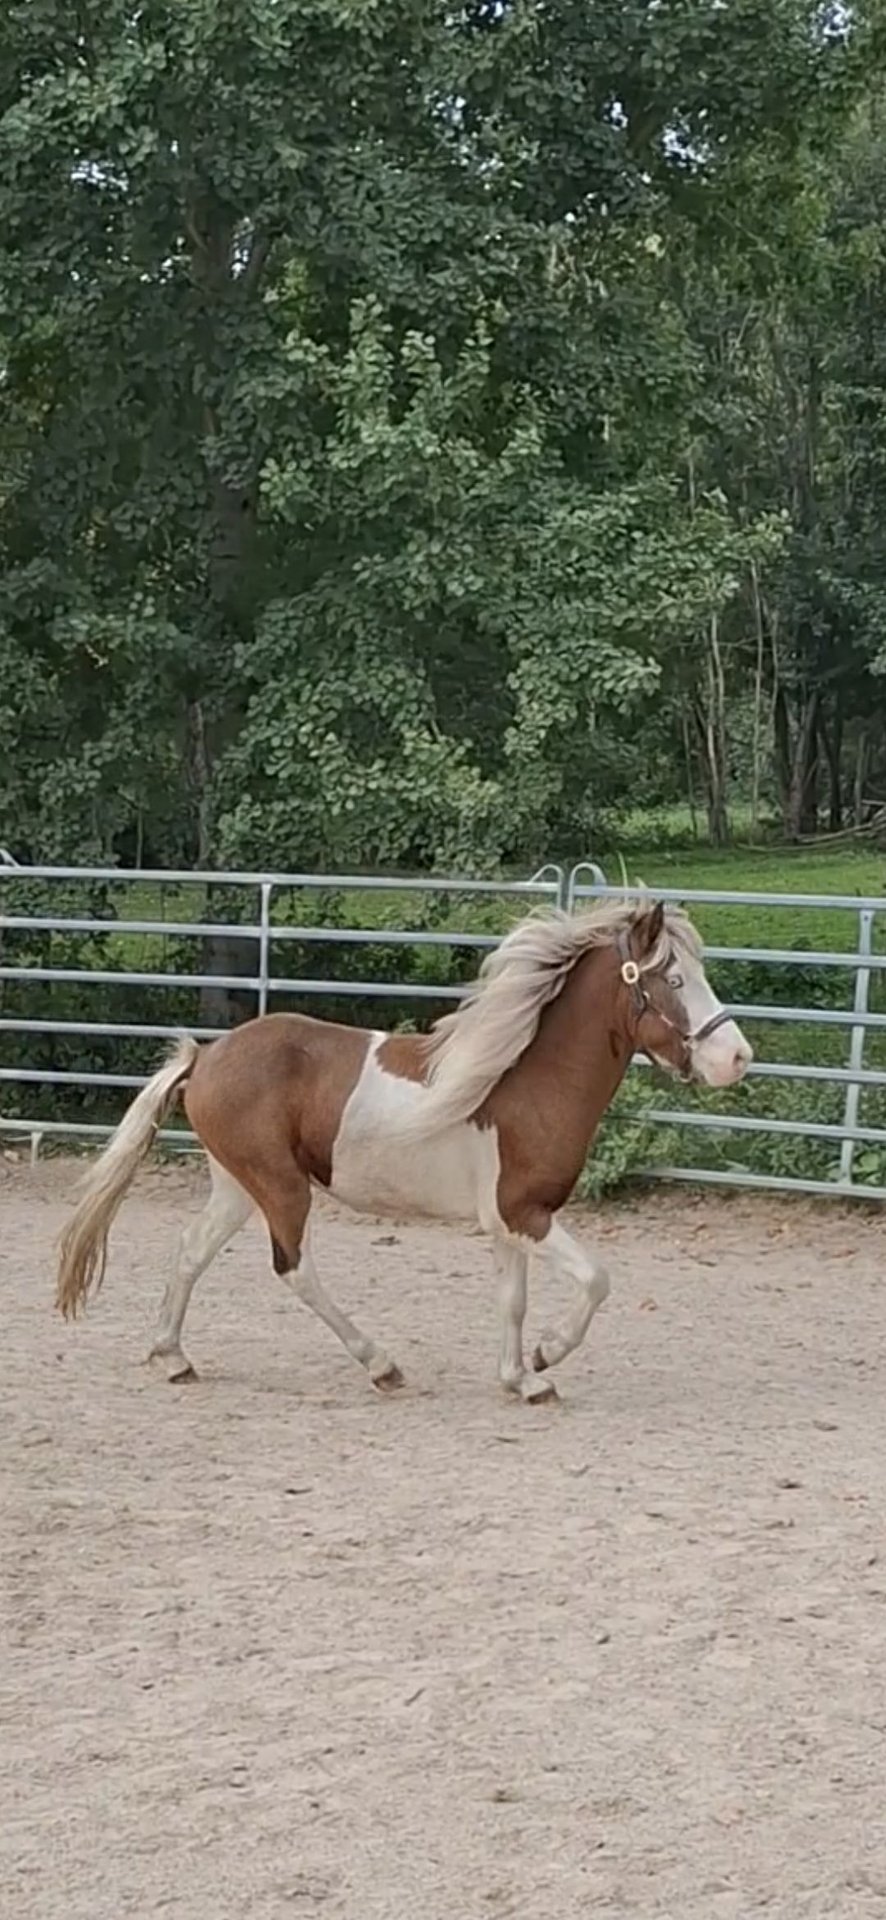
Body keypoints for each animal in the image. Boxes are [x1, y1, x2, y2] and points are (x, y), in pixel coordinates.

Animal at [56, 897, 752, 1403]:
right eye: (673, 978)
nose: (737, 1057)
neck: (525, 1080)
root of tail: (205, 1057)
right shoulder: (525, 1212)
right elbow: (595, 1280)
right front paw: (547, 1353)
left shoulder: (507, 1223)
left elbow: (513, 1300)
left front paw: (522, 1378)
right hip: (281, 1187)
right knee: (294, 1268)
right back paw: (381, 1364)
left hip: (237, 1185)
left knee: (190, 1252)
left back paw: (173, 1357)